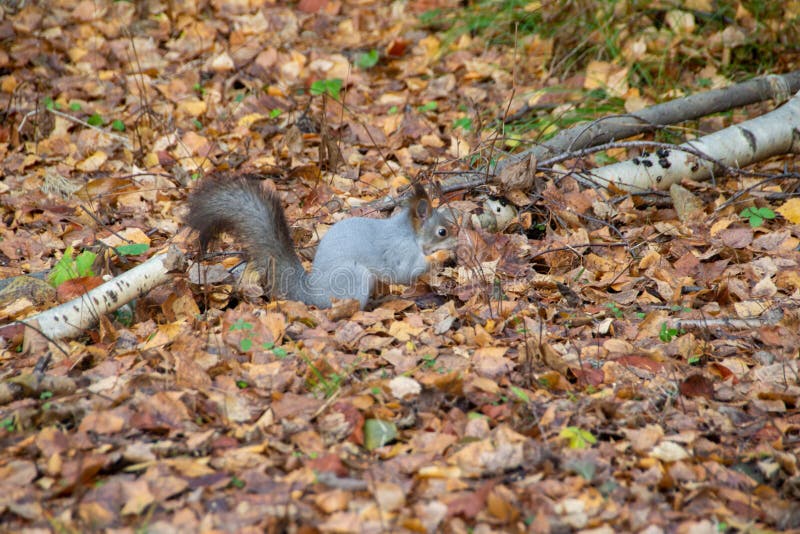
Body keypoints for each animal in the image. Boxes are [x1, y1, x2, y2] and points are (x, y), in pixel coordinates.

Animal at [186, 174, 459, 309]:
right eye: (442, 232)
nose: (458, 239)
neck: (408, 232)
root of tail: (313, 294)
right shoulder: (399, 250)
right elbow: (407, 271)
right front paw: (442, 255)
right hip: (354, 278)